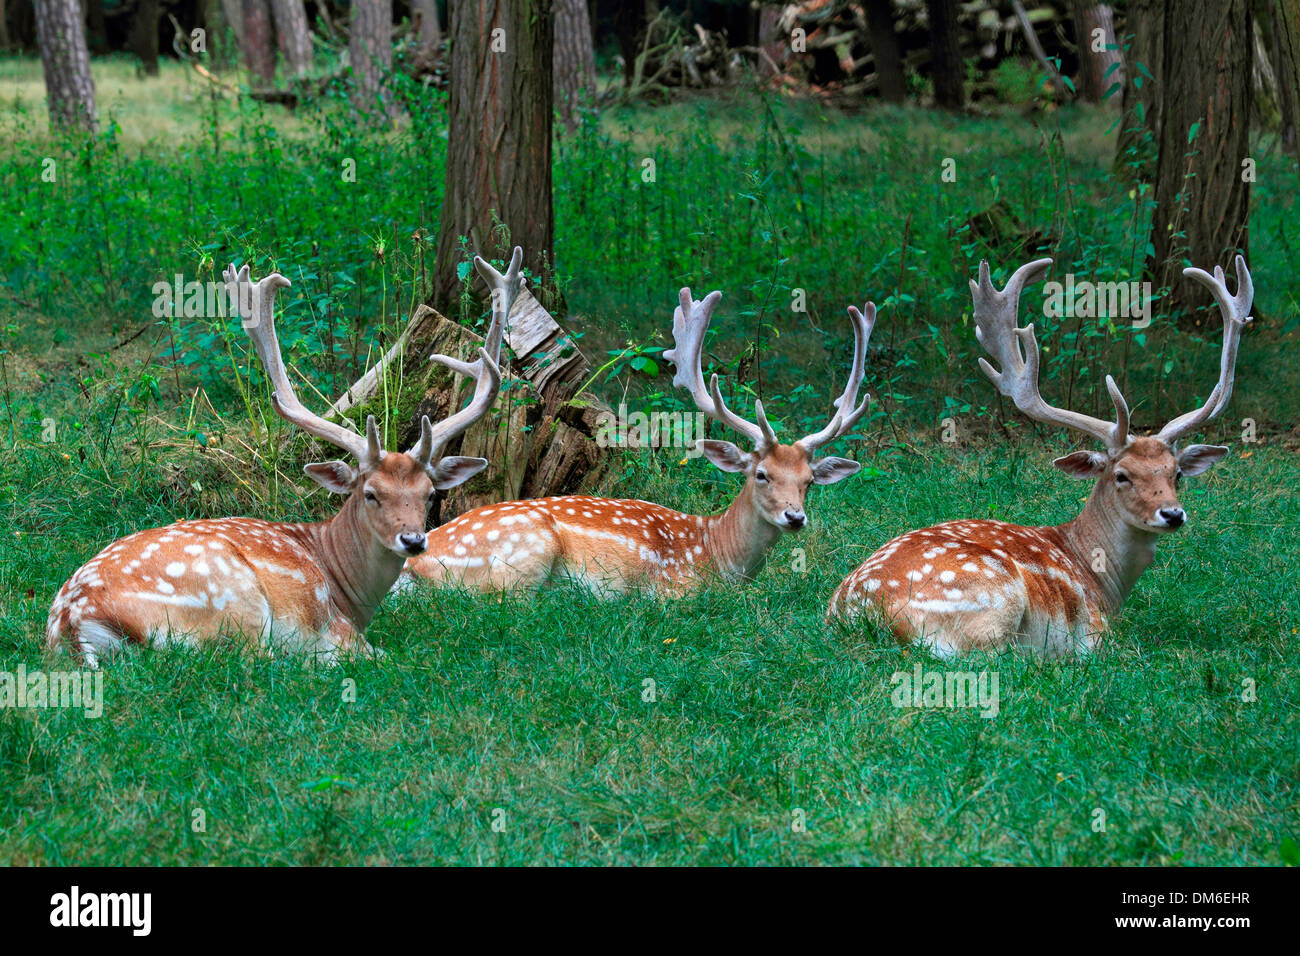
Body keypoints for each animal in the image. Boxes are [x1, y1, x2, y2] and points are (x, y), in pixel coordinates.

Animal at [45, 248, 525, 666]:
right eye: (370, 493)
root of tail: (72, 622)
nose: (413, 540)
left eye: (428, 493)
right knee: (258, 659)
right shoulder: (338, 626)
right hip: (233, 601)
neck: (346, 588)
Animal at [397, 286, 875, 596]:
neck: (713, 552)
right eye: (761, 474)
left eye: (809, 480)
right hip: (525, 553)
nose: (795, 517)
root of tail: (414, 561)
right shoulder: (671, 590)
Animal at [829, 255, 1253, 657]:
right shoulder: (1096, 629)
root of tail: (862, 612)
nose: (1173, 514)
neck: (1098, 577)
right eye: (1122, 475)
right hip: (993, 595)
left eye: (1176, 473)